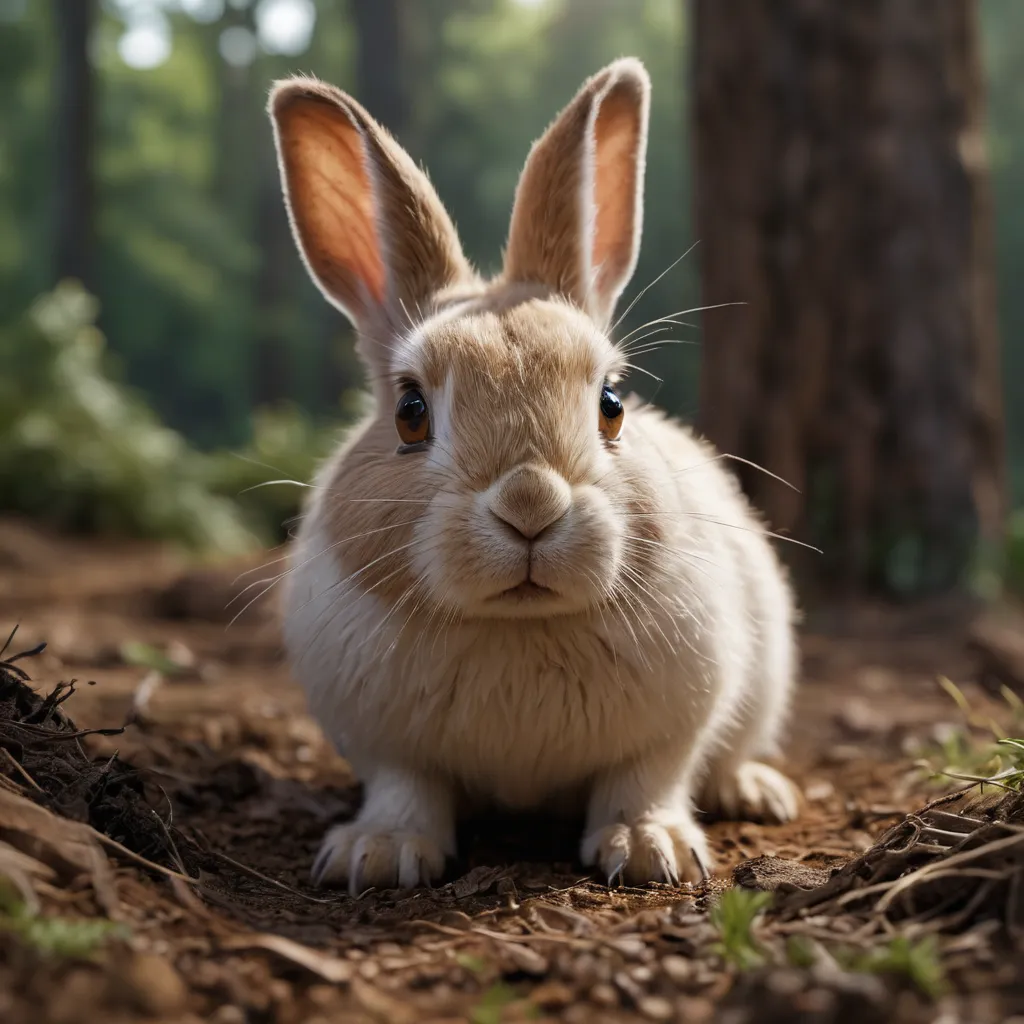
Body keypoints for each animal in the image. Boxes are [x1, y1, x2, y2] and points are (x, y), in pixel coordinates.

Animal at [268, 57, 800, 895]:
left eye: (612, 403)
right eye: (410, 412)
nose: (529, 502)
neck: (518, 625)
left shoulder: (671, 730)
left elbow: (645, 780)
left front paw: (650, 849)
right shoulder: (385, 745)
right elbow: (406, 789)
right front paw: (377, 855)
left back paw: (753, 790)